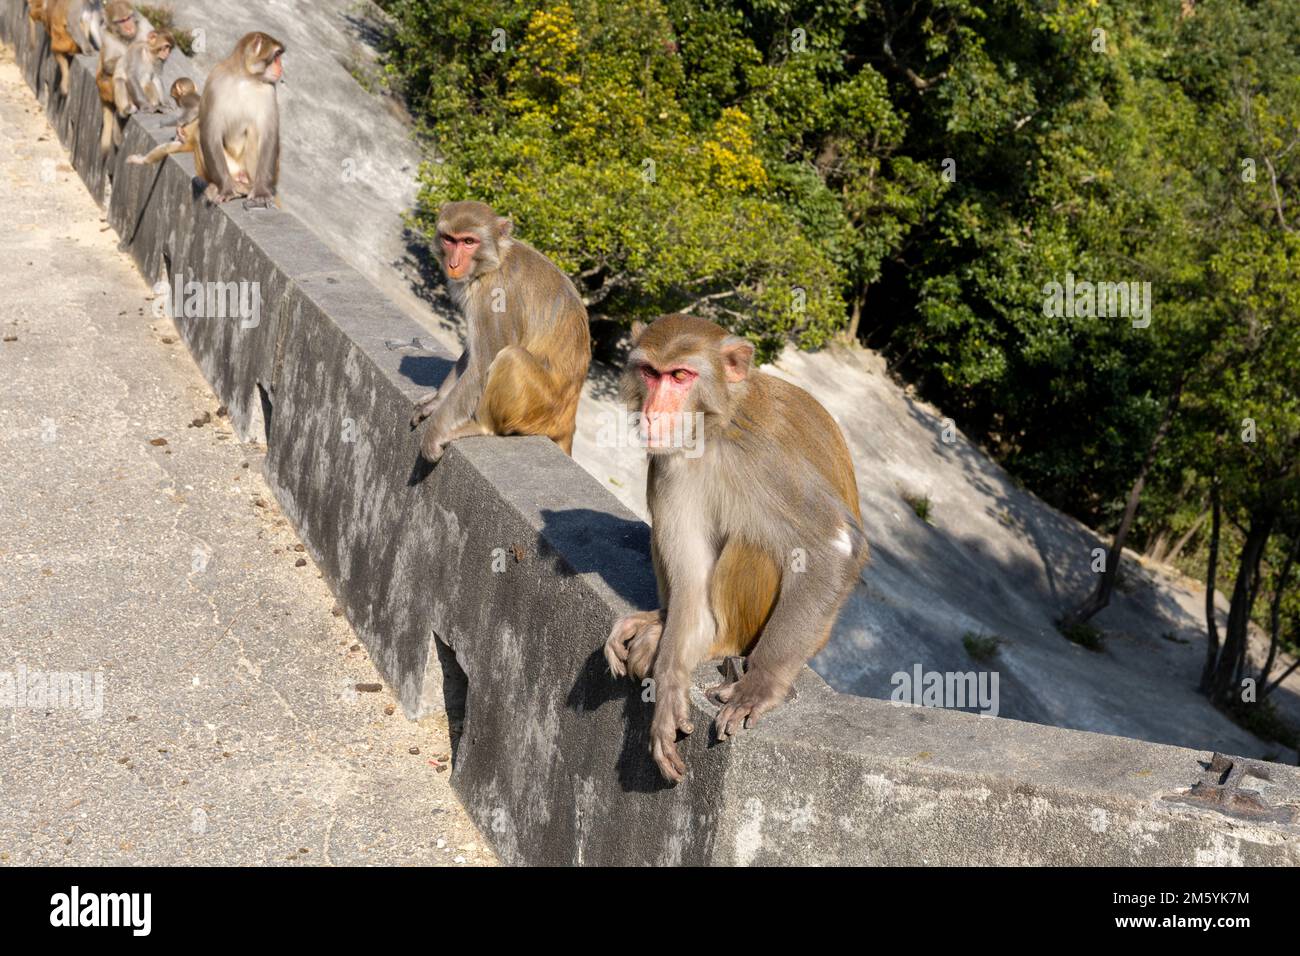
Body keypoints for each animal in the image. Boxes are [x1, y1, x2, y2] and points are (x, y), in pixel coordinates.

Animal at [95, 0, 138, 154]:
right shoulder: (107, 38)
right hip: (107, 88)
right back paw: (123, 111)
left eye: (128, 18)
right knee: (116, 76)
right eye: (121, 21)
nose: (130, 28)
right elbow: (108, 66)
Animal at [197, 32, 285, 209]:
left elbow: (269, 135)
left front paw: (261, 192)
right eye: (276, 56)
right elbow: (209, 132)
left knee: (254, 130)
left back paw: (252, 186)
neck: (246, 78)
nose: (281, 68)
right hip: (231, 167)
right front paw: (226, 188)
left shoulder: (269, 90)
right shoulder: (215, 81)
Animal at [408, 201, 592, 464]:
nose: (453, 264)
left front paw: (433, 434)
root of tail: (568, 420)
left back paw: (481, 426)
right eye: (449, 239)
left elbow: (482, 362)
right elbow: (471, 356)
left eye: (469, 241)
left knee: (511, 356)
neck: (494, 262)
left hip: (540, 407)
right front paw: (435, 402)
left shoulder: (494, 296)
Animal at [604, 314, 868, 783]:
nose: (654, 412)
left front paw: (761, 684)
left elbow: (832, 546)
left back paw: (720, 644)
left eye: (680, 376)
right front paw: (669, 687)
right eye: (651, 373)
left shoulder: (766, 458)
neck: (714, 427)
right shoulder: (672, 464)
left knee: (757, 543)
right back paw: (662, 625)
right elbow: (692, 581)